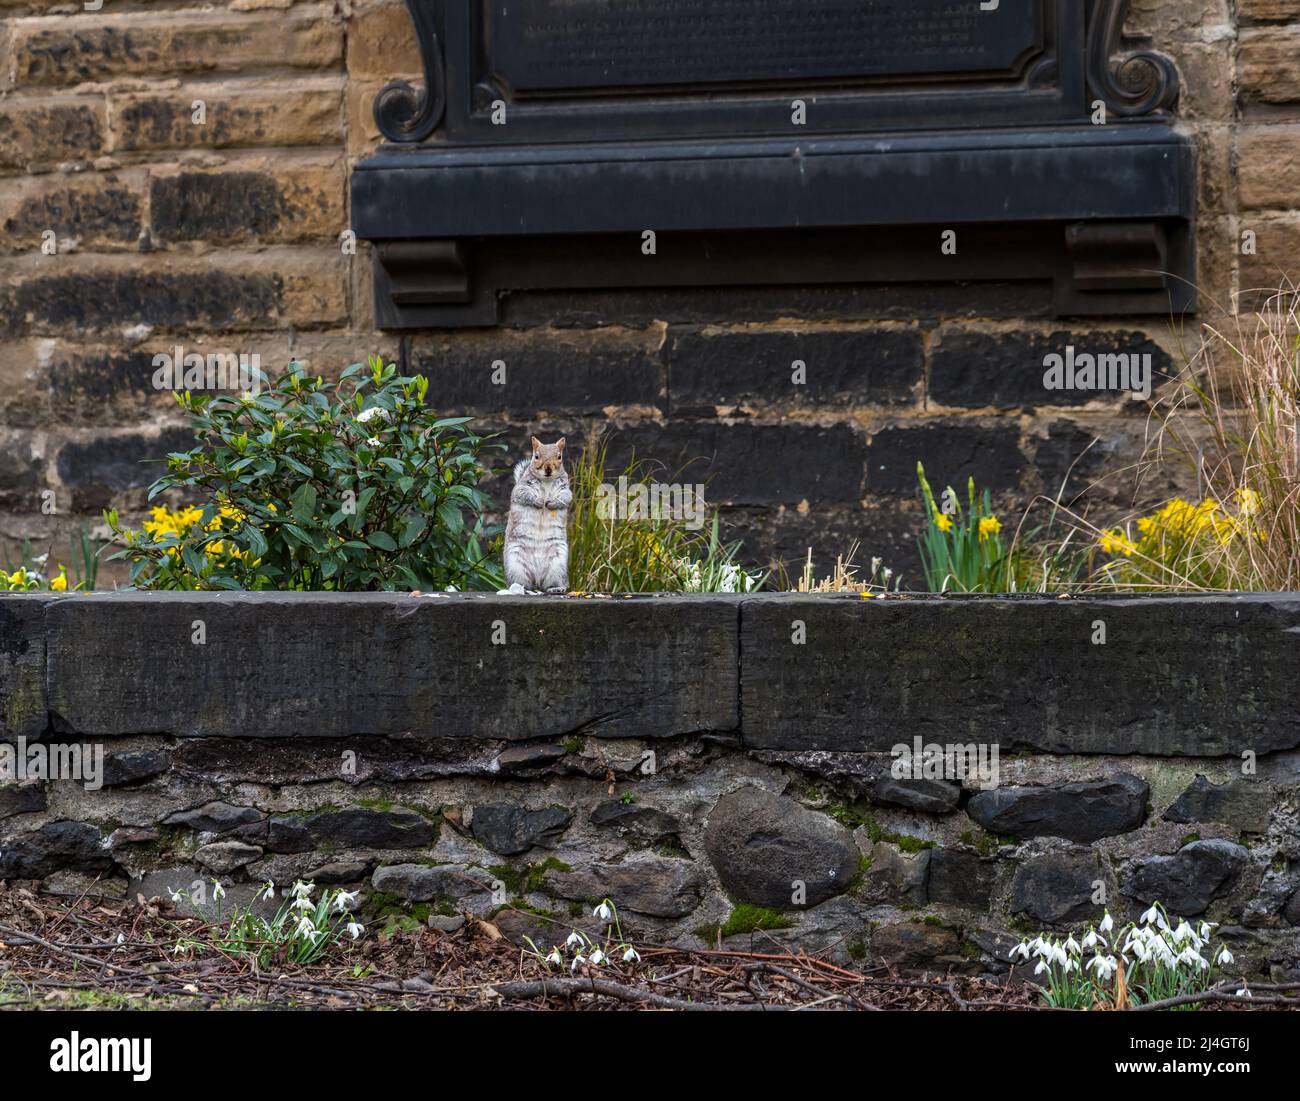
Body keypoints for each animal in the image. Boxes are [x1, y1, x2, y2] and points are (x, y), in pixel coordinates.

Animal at [503, 436, 572, 593]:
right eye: (536, 456)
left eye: (559, 456)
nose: (548, 468)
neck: (546, 481)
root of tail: (537, 578)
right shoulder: (521, 487)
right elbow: (522, 494)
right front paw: (539, 502)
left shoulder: (565, 489)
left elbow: (565, 497)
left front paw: (552, 504)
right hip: (515, 564)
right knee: (522, 583)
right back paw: (522, 589)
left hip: (557, 562)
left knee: (551, 582)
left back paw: (556, 588)